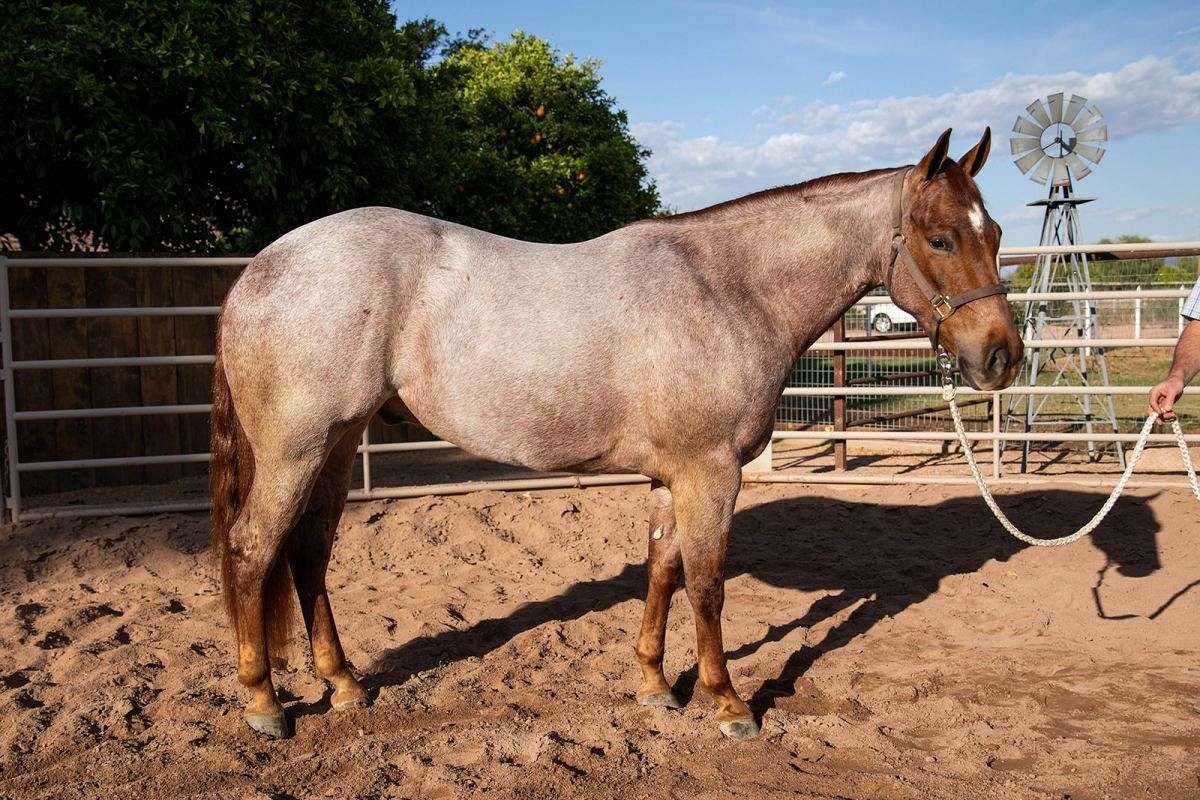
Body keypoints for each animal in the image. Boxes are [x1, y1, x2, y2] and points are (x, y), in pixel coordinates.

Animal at [210, 127, 1022, 741]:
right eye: (940, 239)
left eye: (996, 233)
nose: (1002, 356)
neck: (727, 287)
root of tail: (262, 268)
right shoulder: (710, 472)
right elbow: (708, 585)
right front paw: (728, 704)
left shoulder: (673, 476)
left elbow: (663, 571)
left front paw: (654, 684)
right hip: (296, 449)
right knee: (253, 549)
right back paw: (263, 704)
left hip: (337, 445)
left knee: (308, 553)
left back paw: (344, 684)